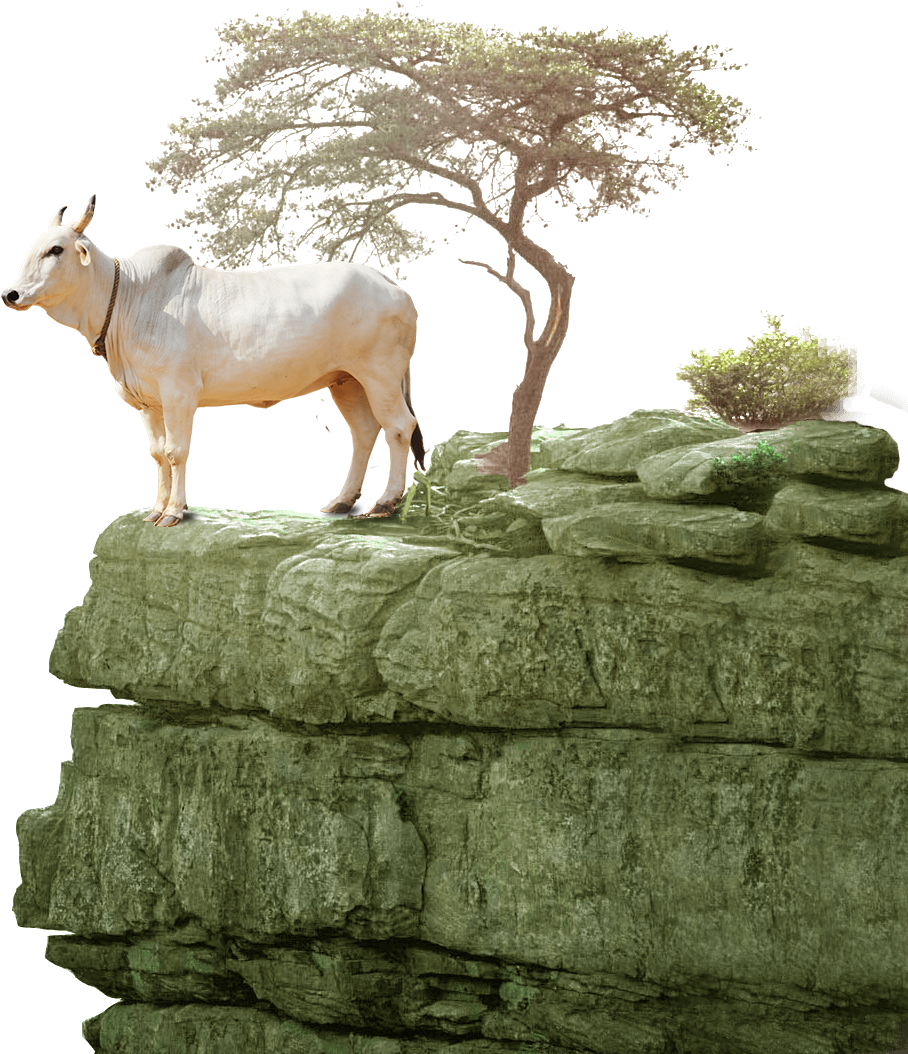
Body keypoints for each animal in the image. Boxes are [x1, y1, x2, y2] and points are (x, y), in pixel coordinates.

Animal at [2, 194, 427, 525]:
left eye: (56, 250)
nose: (12, 294)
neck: (129, 298)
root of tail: (394, 288)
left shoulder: (178, 391)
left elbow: (176, 451)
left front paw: (174, 512)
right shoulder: (148, 402)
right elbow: (157, 453)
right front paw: (155, 509)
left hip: (380, 373)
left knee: (399, 426)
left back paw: (386, 502)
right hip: (346, 380)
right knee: (364, 432)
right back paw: (342, 501)